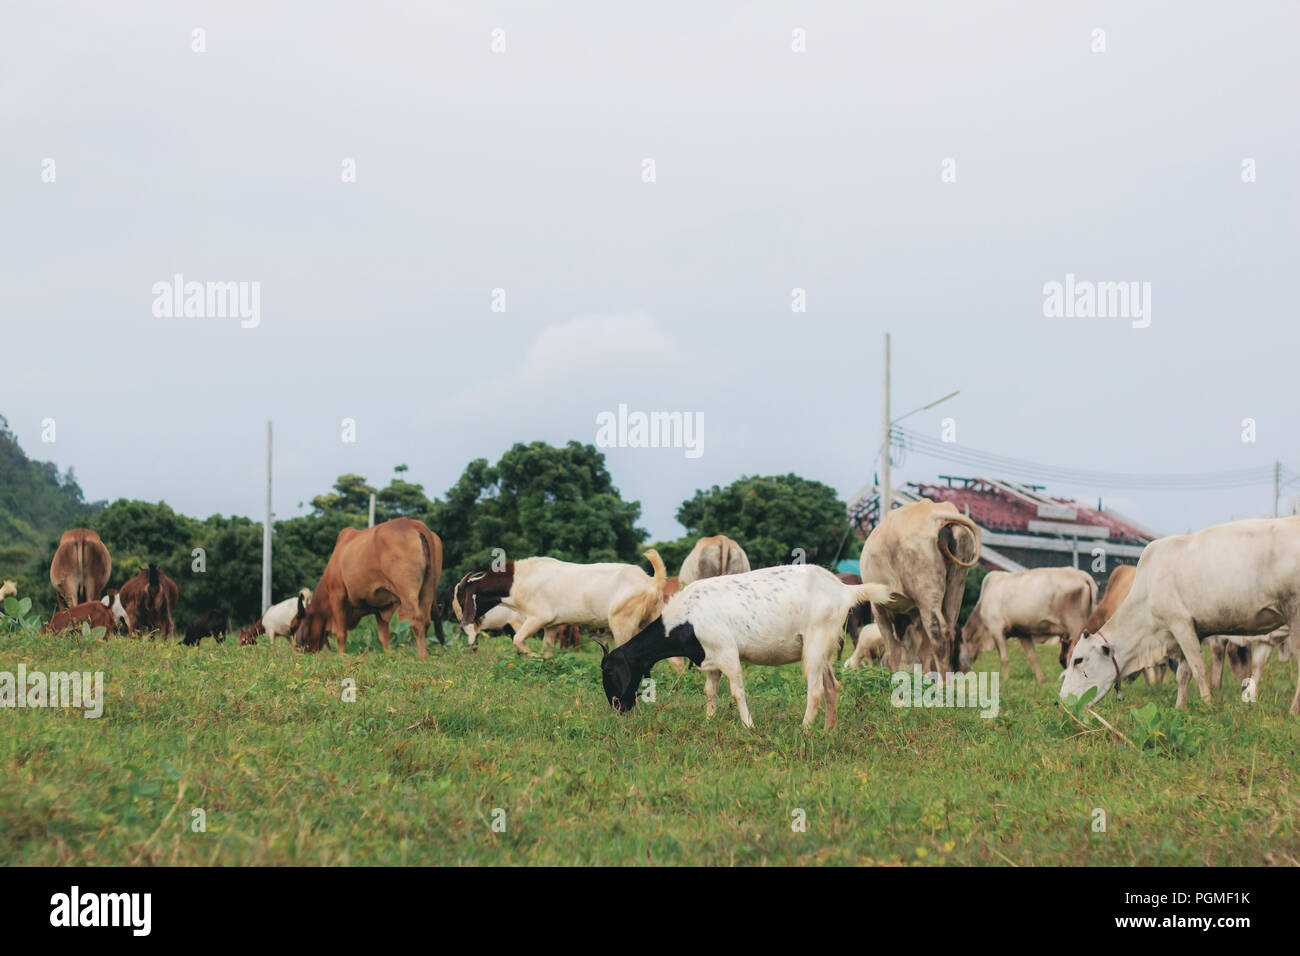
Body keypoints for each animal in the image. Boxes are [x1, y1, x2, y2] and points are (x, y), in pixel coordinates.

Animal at [293, 518, 446, 658]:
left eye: (295, 626)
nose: (298, 651)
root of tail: (415, 524)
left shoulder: (337, 596)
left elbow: (341, 633)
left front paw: (341, 656)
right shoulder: (381, 607)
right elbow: (384, 637)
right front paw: (388, 655)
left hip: (408, 593)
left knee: (417, 620)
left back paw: (422, 657)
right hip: (428, 589)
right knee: (426, 621)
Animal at [860, 499, 980, 675]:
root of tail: (936, 513)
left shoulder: (878, 607)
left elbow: (893, 649)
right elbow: (923, 650)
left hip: (926, 591)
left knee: (939, 635)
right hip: (956, 583)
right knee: (949, 629)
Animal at [957, 567, 1096, 681]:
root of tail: (1083, 575)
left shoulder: (996, 629)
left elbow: (1004, 658)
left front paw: (1006, 679)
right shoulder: (1022, 632)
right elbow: (1031, 656)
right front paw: (1041, 678)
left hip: (1076, 626)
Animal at [1061, 516, 1300, 713]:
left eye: (1078, 660)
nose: (1061, 699)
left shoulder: (1180, 624)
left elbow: (1198, 668)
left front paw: (1207, 705)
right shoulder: (1193, 630)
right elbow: (1183, 675)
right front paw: (1180, 707)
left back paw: (1293, 710)